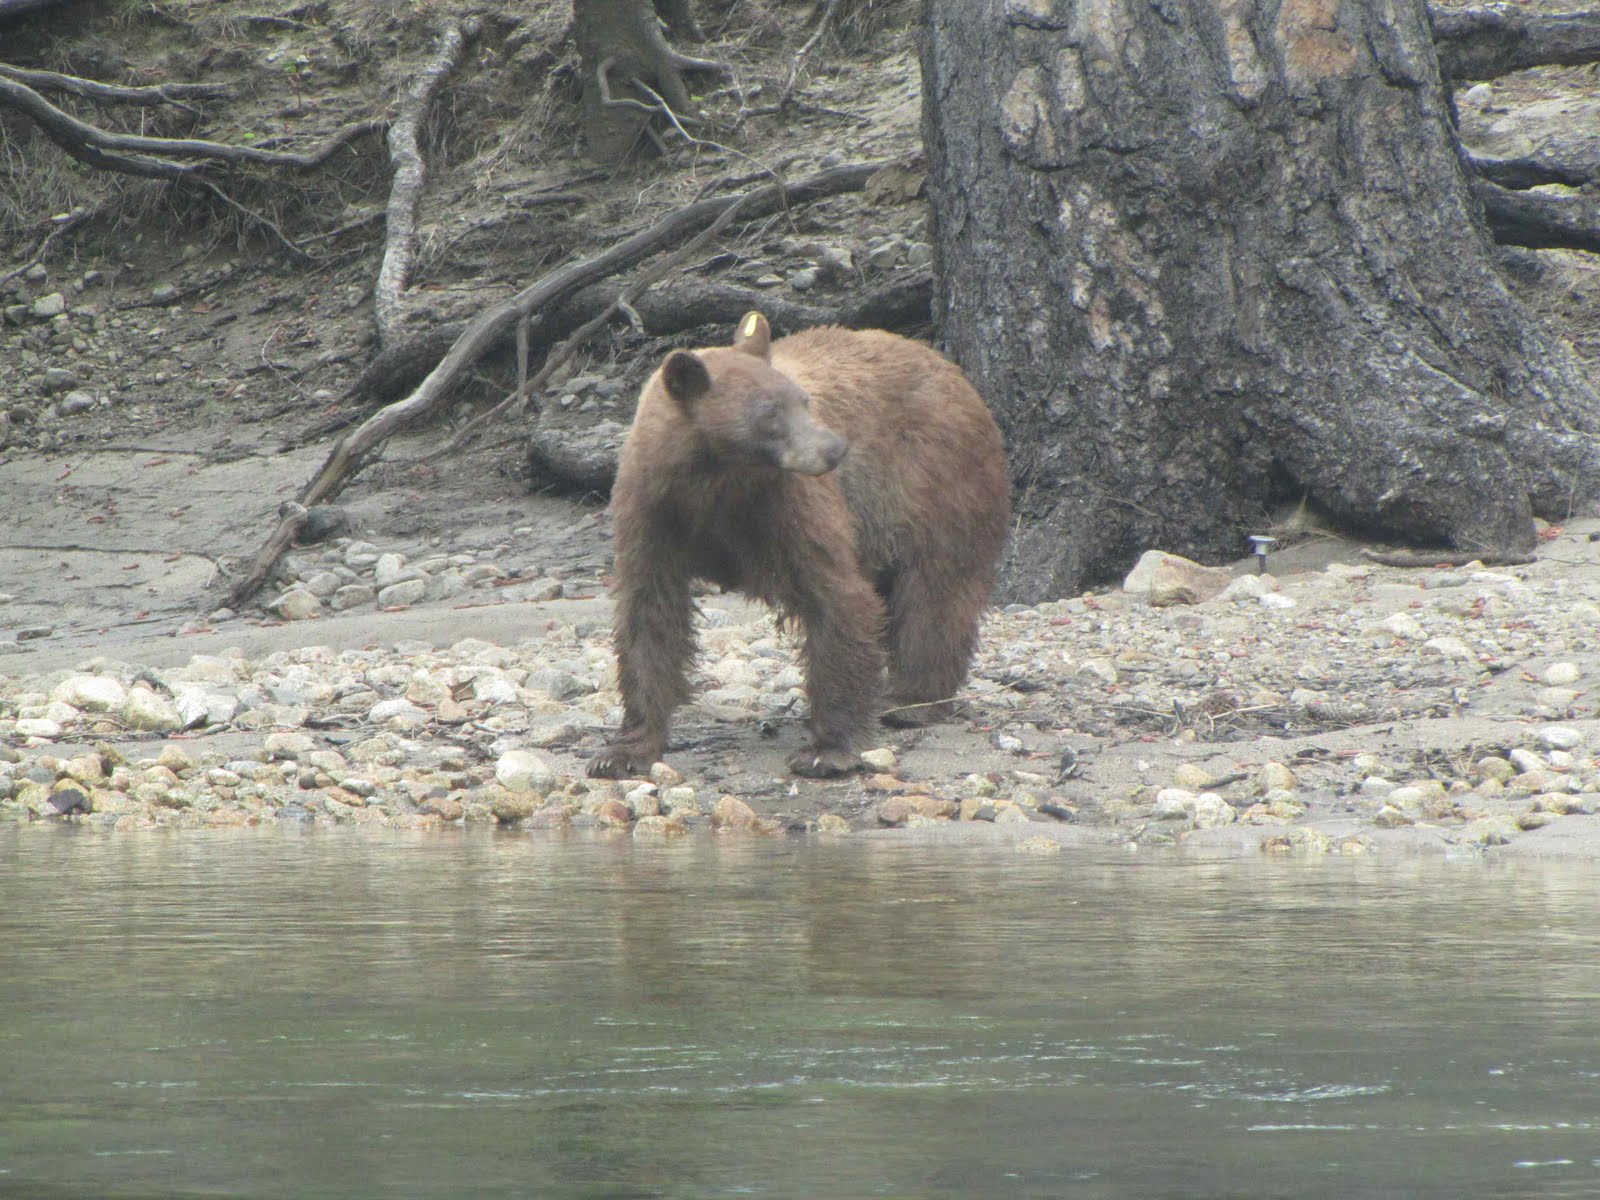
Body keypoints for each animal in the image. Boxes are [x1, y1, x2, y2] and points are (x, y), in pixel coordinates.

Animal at [587, 311, 1010, 780]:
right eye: (770, 412)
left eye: (803, 401)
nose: (835, 448)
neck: (714, 482)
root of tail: (952, 370)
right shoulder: (654, 515)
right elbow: (649, 616)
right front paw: (624, 750)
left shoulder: (785, 507)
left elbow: (837, 597)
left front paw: (827, 749)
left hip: (937, 484)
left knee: (935, 593)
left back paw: (912, 700)